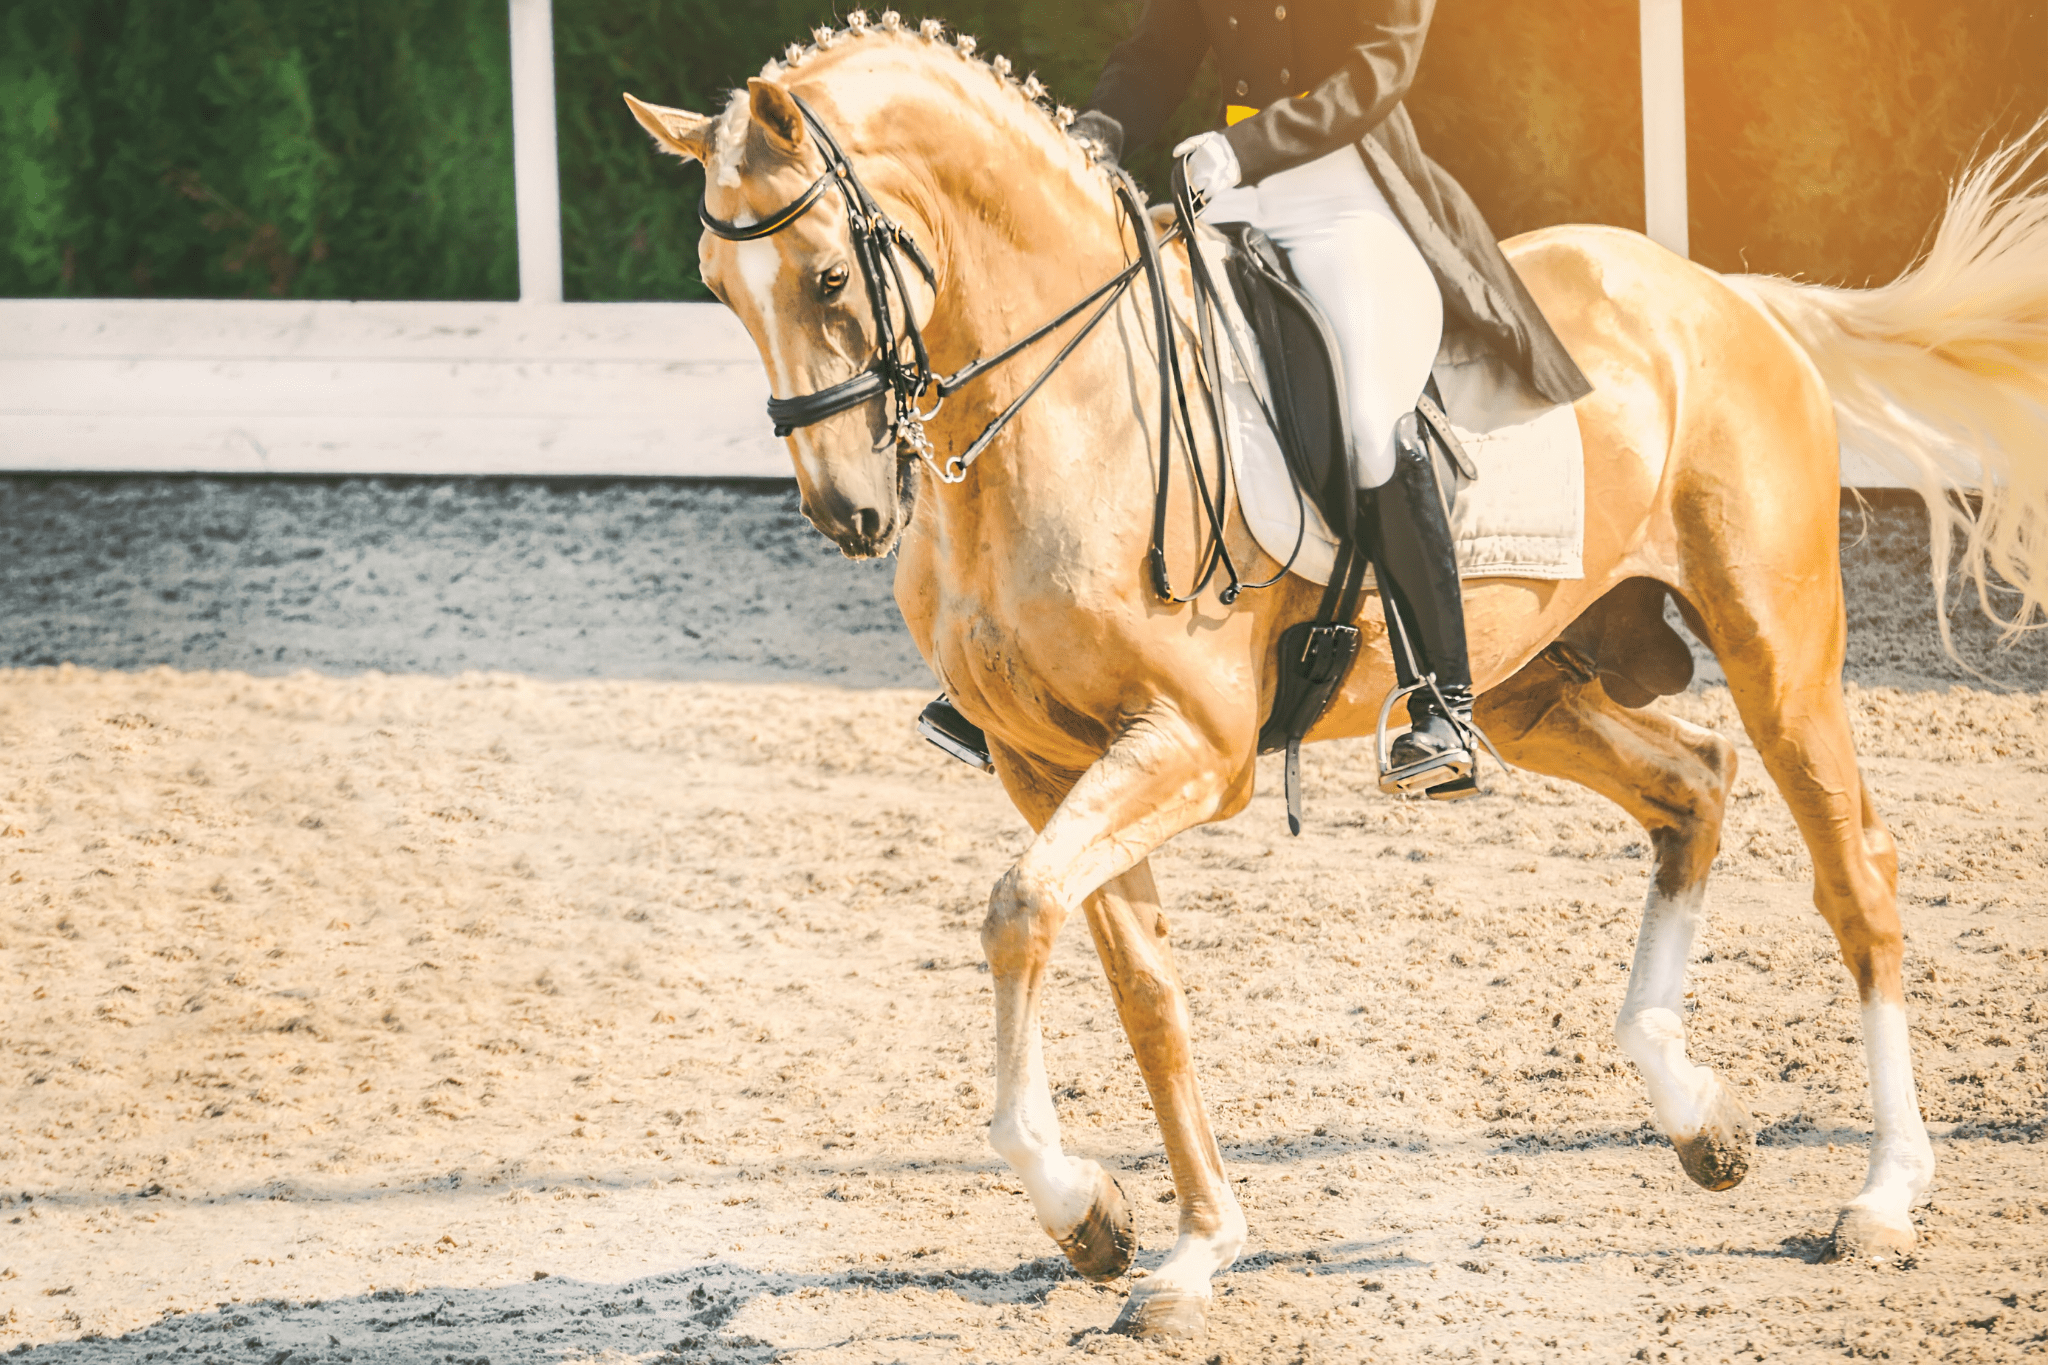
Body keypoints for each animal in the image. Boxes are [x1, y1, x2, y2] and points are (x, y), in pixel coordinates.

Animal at [625, 14, 2048, 1339]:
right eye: (715, 288)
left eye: (824, 276)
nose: (849, 512)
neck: (1066, 412)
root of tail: (1720, 291)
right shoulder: (1048, 765)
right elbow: (1137, 986)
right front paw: (1159, 1240)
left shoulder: (1188, 749)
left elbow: (1018, 913)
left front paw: (1089, 1204)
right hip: (1532, 687)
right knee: (1692, 783)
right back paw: (1695, 1112)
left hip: (1776, 650)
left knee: (1854, 871)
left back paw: (1883, 1194)